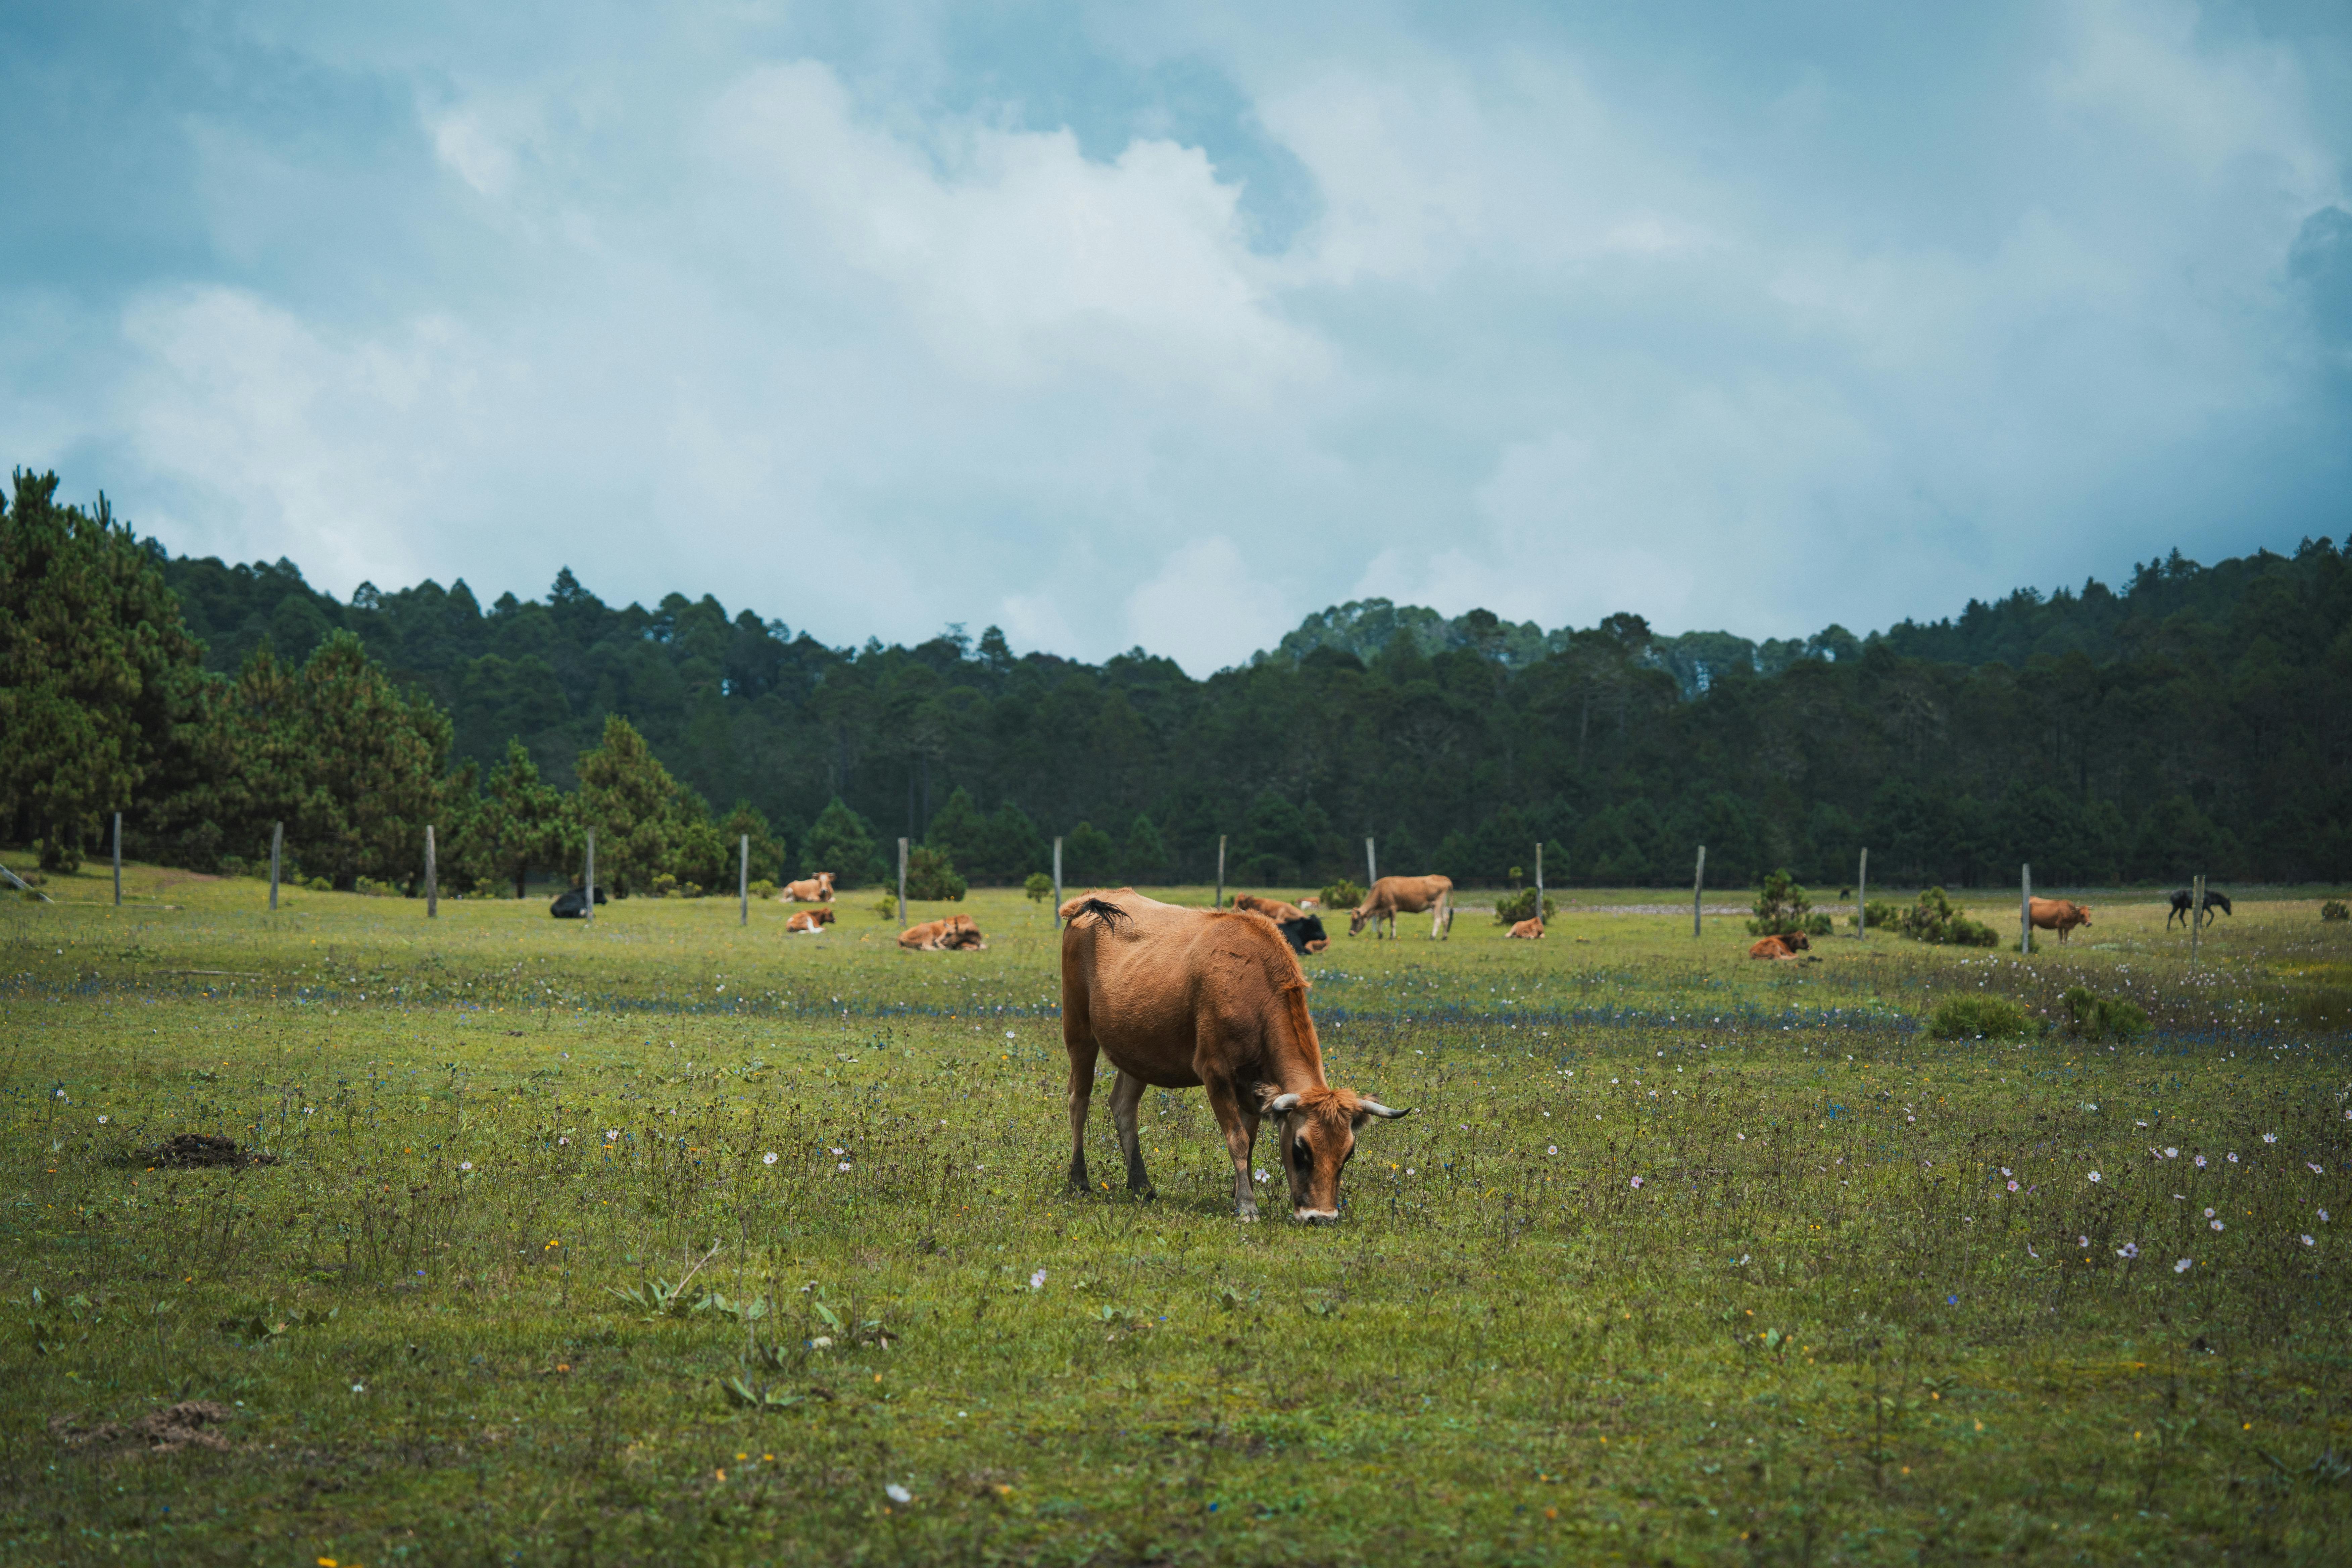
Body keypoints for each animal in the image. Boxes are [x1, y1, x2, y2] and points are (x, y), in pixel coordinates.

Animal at [783, 872, 836, 902]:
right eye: (820, 881)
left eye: (828, 882)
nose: (824, 890)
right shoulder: (812, 895)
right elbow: (818, 899)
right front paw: (809, 900)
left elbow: (834, 900)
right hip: (790, 891)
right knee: (784, 900)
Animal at [1059, 889, 1409, 1222]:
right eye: (1301, 1149)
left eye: (1348, 1154)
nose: (1321, 1217)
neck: (1253, 986)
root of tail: (1090, 901)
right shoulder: (1216, 1073)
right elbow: (1237, 1139)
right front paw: (1247, 1205)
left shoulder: (1254, 1088)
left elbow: (1250, 1140)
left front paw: (1241, 1191)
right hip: (1079, 1032)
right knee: (1079, 1101)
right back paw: (1079, 1181)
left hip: (1137, 1052)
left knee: (1123, 1107)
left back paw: (1142, 1186)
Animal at [1348, 875, 1455, 940]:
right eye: (1352, 920)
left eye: (1356, 920)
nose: (1350, 933)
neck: (1380, 890)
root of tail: (1442, 878)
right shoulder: (1384, 911)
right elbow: (1380, 921)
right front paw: (1380, 935)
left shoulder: (1392, 908)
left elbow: (1393, 923)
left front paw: (1392, 936)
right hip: (1442, 905)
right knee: (1446, 918)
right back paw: (1444, 937)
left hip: (1436, 905)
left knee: (1438, 919)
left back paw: (1432, 937)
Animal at [2027, 897, 2093, 943]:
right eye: (2082, 915)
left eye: (2089, 914)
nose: (2089, 924)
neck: (2069, 911)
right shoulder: (2060, 926)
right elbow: (2061, 937)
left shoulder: (2067, 927)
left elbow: (2066, 938)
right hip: (2030, 923)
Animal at [2166, 888, 2232, 930]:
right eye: (2229, 905)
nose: (2230, 913)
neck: (2213, 899)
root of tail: (2171, 897)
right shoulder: (2207, 906)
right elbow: (2213, 914)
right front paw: (2207, 924)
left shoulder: (2204, 908)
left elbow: (2201, 916)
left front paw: (2201, 926)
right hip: (2181, 907)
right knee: (2179, 915)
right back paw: (2184, 926)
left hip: (2178, 907)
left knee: (2172, 915)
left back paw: (2169, 927)